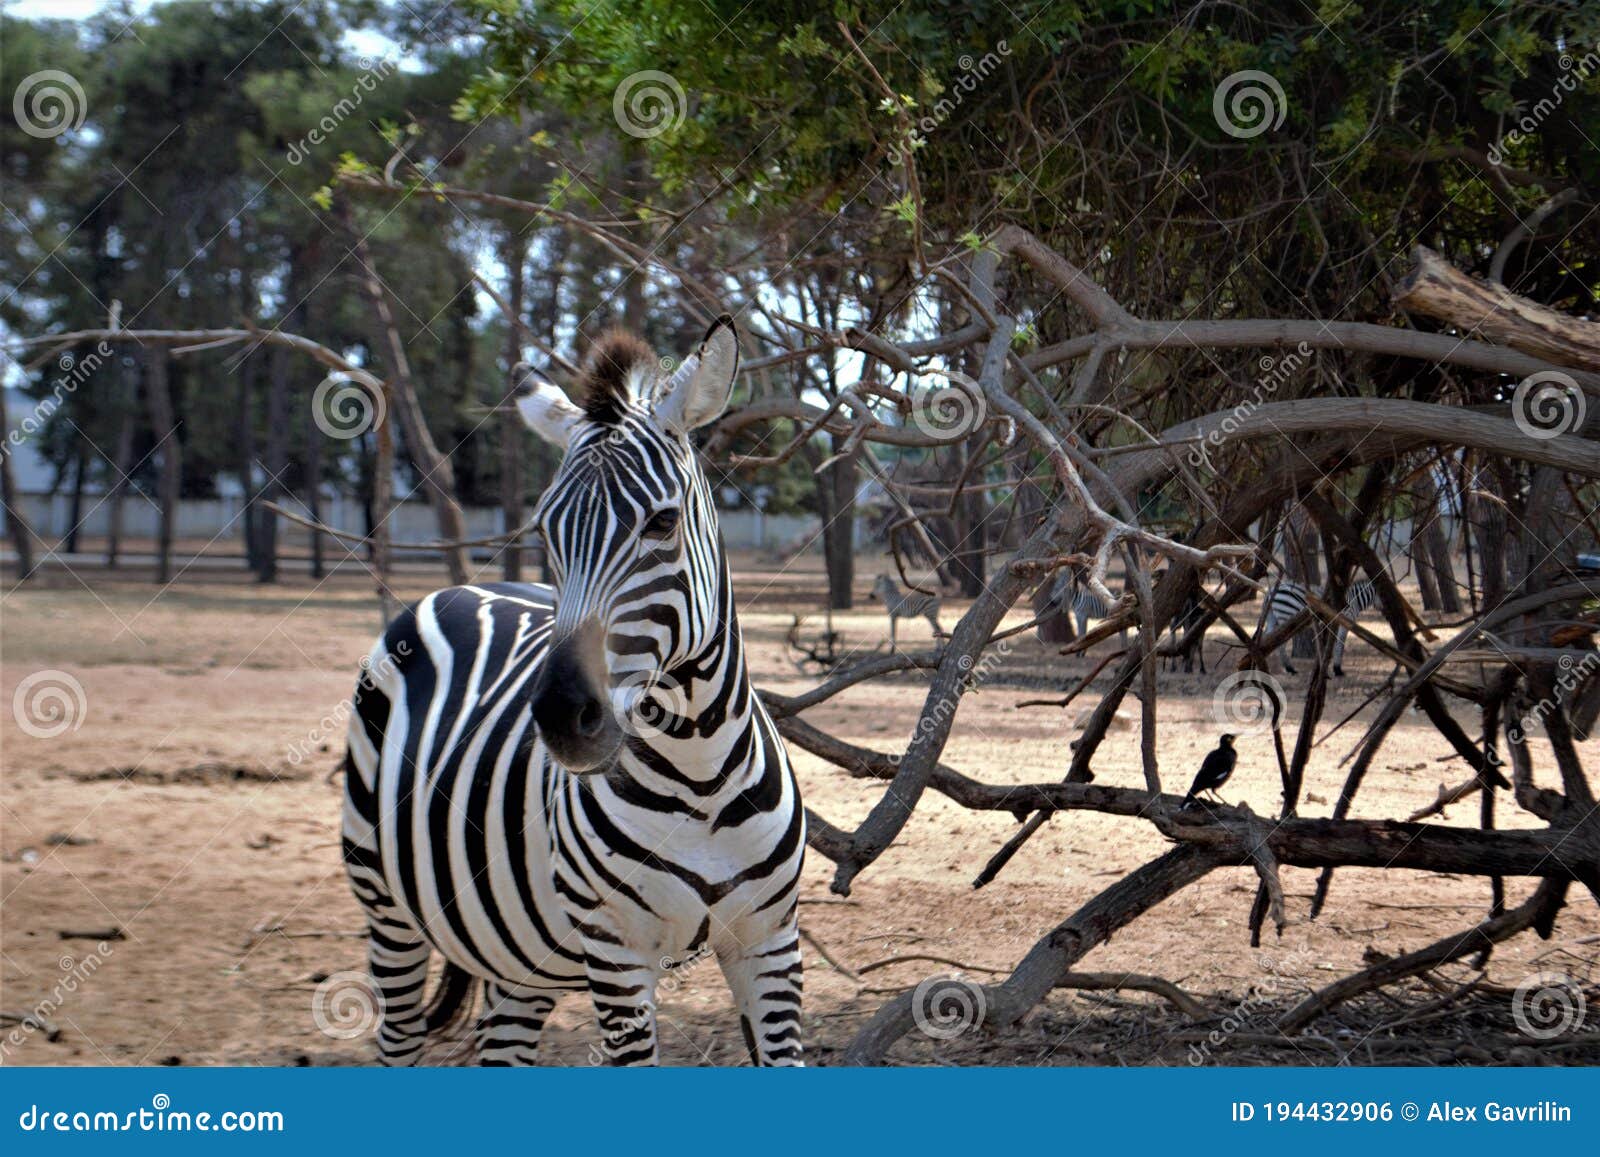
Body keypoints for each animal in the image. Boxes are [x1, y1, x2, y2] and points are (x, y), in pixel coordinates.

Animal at [341, 319, 806, 1067]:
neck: (701, 774)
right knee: (398, 1037)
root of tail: (462, 587)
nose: (562, 717)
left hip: (516, 958)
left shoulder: (770, 941)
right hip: (385, 903)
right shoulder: (617, 955)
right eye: (544, 532)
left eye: (661, 523)